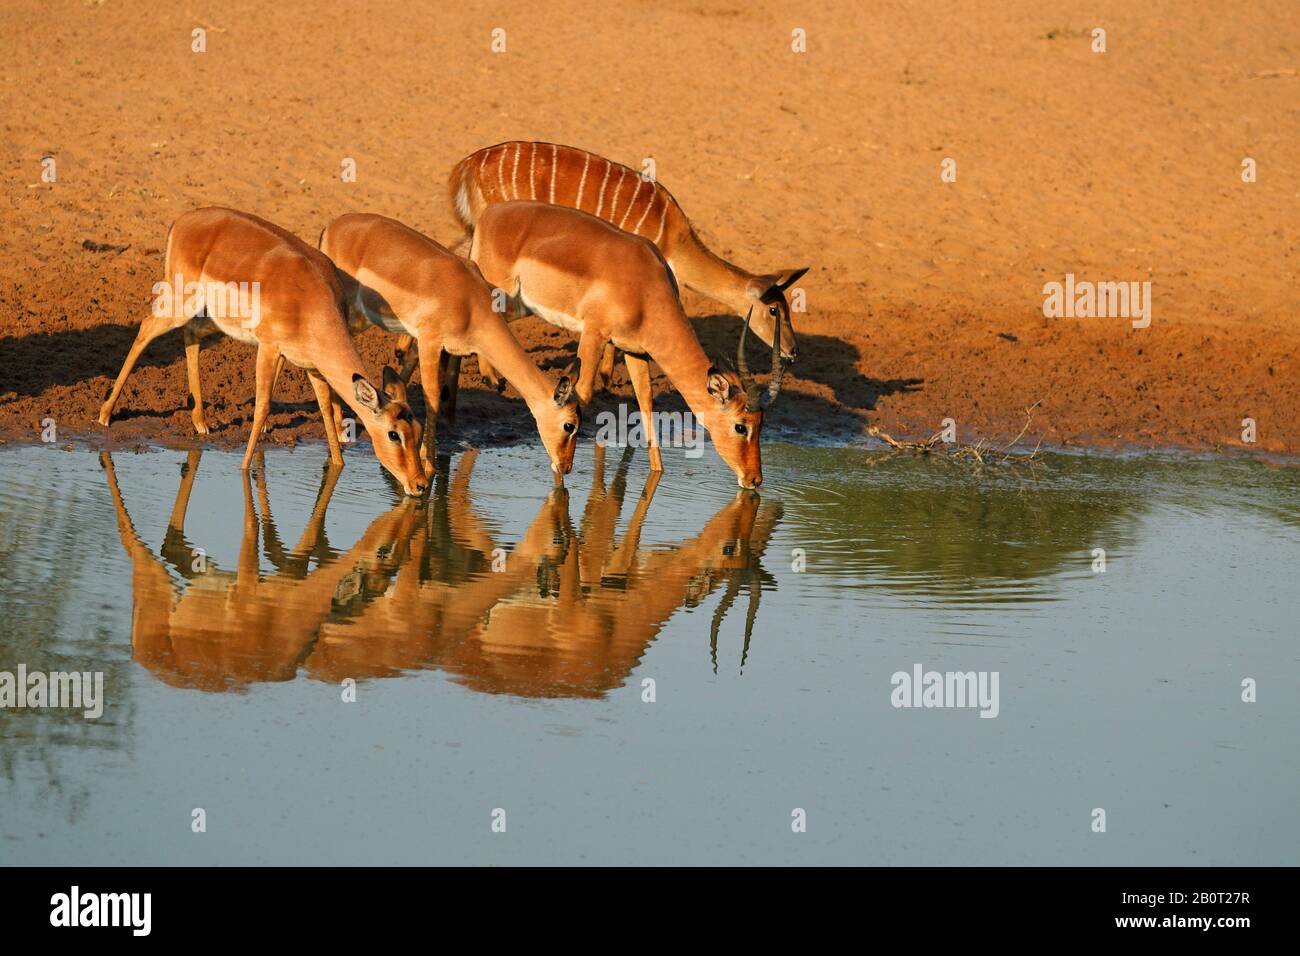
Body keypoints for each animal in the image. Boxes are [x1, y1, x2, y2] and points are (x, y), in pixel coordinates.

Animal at [96, 206, 428, 496]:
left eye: (418, 429)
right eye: (394, 433)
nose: (421, 485)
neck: (311, 300)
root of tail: (184, 219)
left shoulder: (311, 365)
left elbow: (325, 411)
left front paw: (337, 465)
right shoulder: (268, 348)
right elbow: (262, 408)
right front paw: (244, 469)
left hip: (210, 316)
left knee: (190, 335)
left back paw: (201, 422)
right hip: (181, 303)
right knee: (145, 328)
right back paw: (105, 414)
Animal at [317, 213, 580, 477]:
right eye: (570, 425)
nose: (566, 467)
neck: (470, 302)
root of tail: (333, 225)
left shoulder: (444, 347)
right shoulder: (430, 341)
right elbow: (431, 396)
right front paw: (429, 464)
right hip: (350, 317)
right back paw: (341, 433)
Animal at [436, 140, 807, 393]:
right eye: (774, 310)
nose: (792, 352)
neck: (673, 235)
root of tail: (466, 165)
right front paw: (603, 380)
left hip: (474, 233)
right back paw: (488, 378)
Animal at [468, 200, 783, 488]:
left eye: (762, 424)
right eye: (741, 426)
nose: (754, 479)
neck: (647, 287)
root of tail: (491, 213)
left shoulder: (635, 350)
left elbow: (645, 400)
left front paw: (657, 473)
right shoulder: (594, 334)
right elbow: (582, 395)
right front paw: (560, 474)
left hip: (519, 305)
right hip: (502, 296)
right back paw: (488, 380)